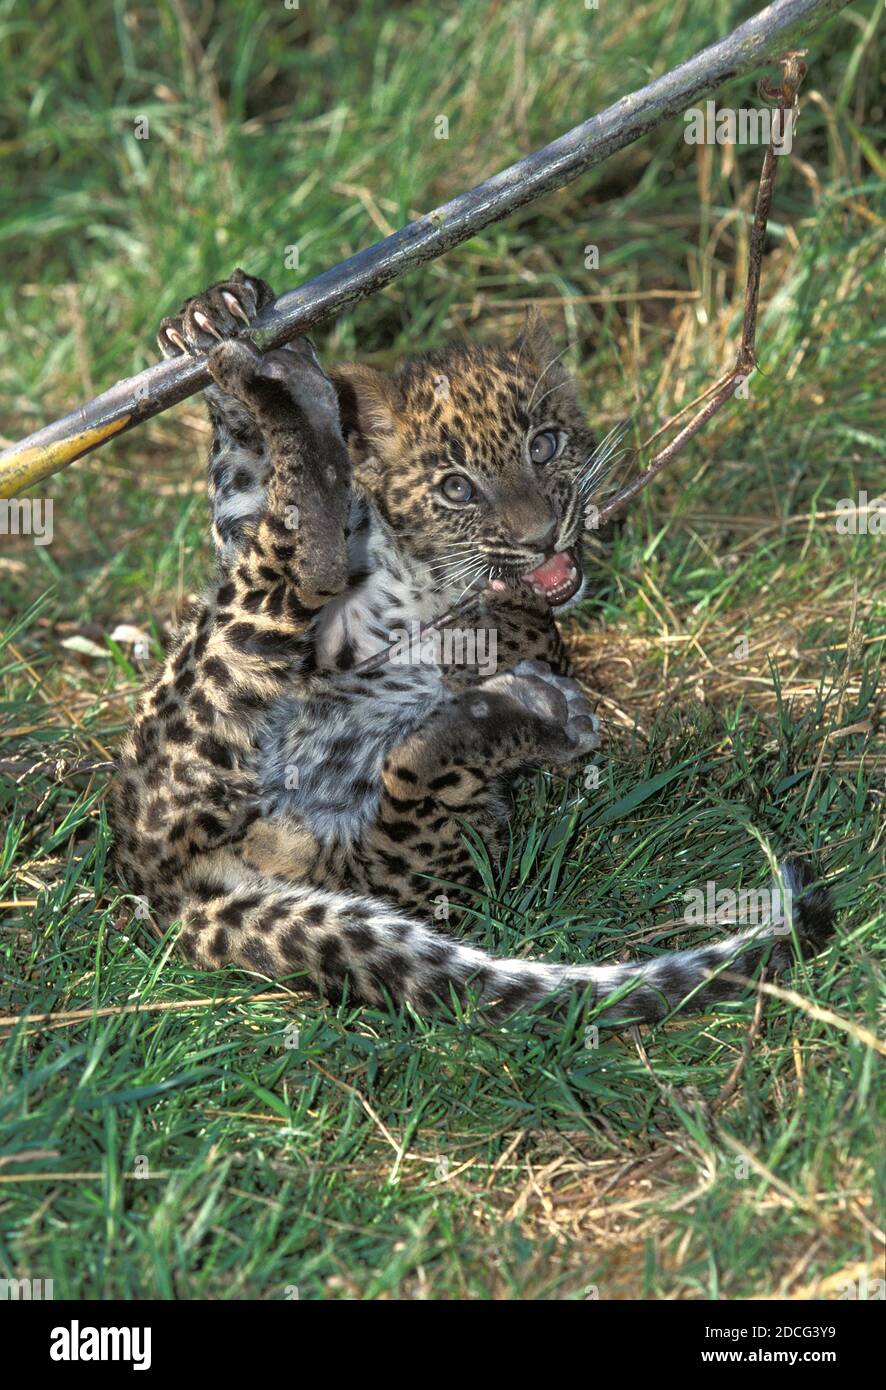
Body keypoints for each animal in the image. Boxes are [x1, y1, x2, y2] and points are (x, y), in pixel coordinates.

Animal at [109, 269, 833, 1024]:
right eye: (457, 488)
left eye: (543, 446)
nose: (541, 538)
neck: (420, 573)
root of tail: (181, 899)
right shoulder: (249, 544)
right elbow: (243, 487)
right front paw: (212, 315)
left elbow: (512, 627)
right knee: (298, 563)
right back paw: (299, 388)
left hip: (417, 850)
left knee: (400, 775)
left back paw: (531, 712)